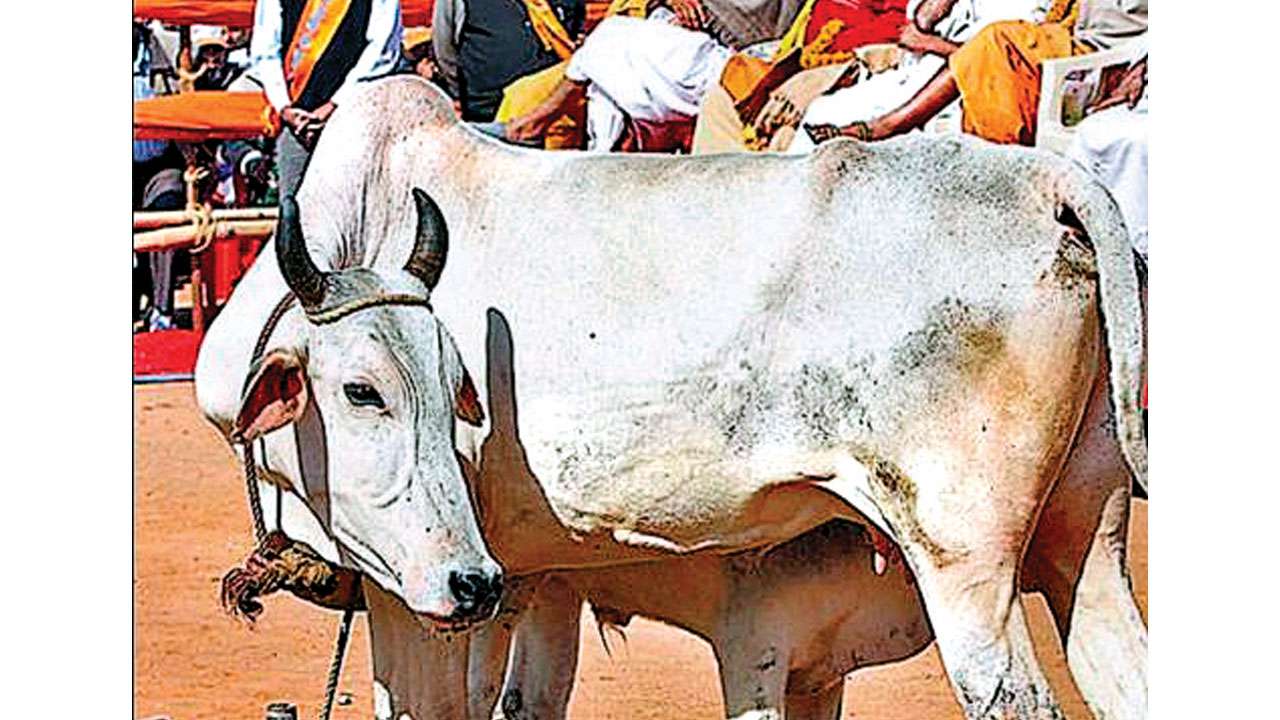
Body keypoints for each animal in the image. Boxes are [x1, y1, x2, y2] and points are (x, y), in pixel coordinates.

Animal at [194, 74, 1145, 719]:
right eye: (362, 390)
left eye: (443, 387)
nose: (468, 579)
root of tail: (1045, 184)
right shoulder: (525, 577)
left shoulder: (414, 583)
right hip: (1083, 536)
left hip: (963, 558)